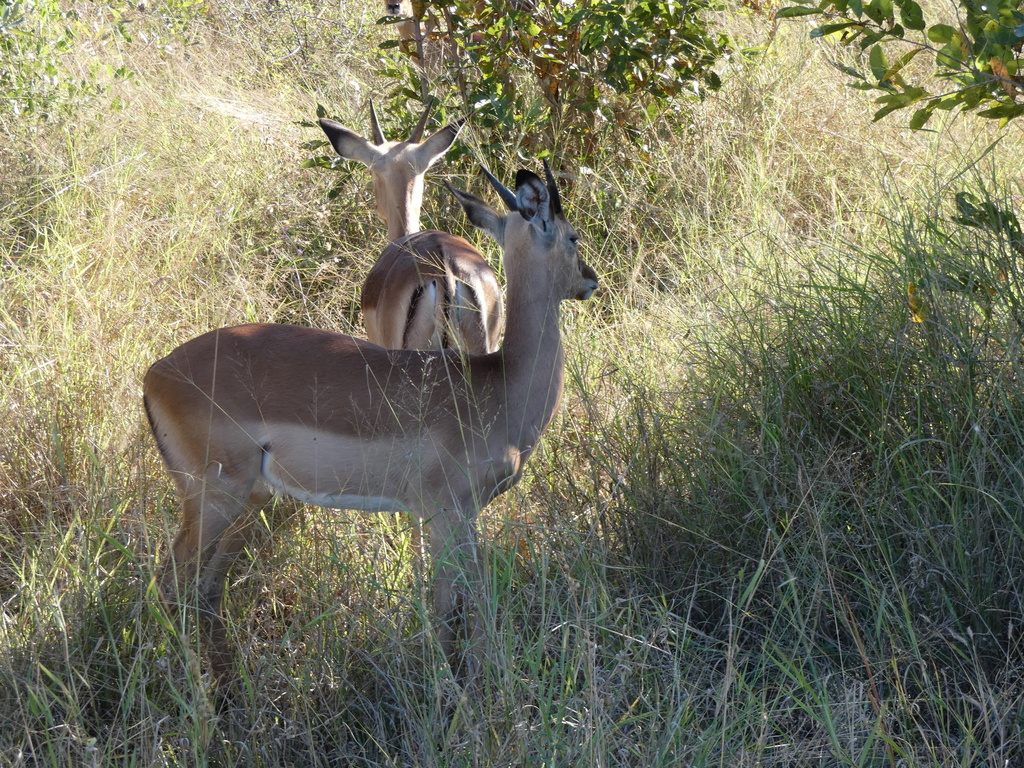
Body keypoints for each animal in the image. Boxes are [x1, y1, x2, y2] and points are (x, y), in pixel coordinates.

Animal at [145, 160, 599, 683]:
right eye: (573, 236)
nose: (591, 280)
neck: (499, 385)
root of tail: (155, 373)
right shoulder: (448, 514)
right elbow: (459, 605)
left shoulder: (451, 517)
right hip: (216, 497)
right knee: (171, 586)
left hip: (249, 499)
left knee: (206, 589)